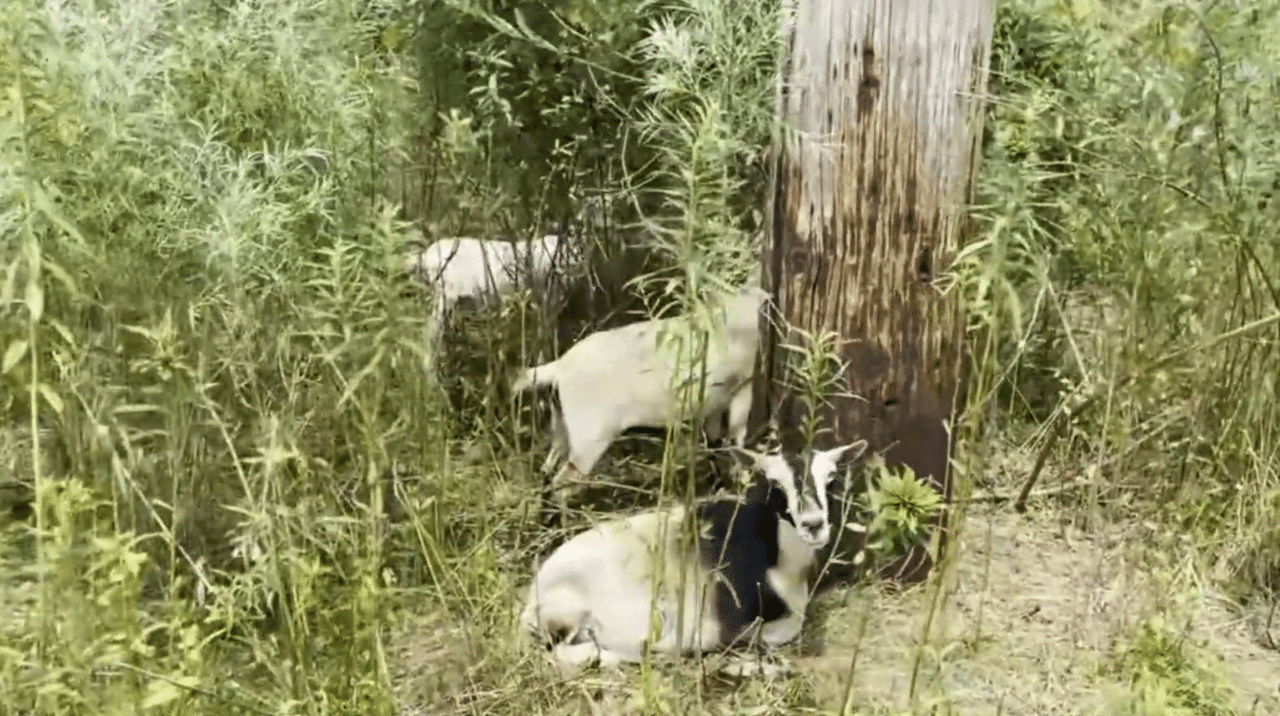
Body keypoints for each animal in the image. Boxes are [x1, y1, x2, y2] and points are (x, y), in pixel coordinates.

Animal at [511, 284, 770, 490]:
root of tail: (560, 367)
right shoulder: (743, 382)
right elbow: (737, 435)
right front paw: (743, 483)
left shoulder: (715, 398)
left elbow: (714, 439)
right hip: (590, 433)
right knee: (563, 481)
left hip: (562, 422)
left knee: (548, 467)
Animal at [519, 430, 869, 676]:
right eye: (775, 484)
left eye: (831, 479)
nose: (813, 525)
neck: (777, 558)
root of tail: (533, 595)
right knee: (567, 653)